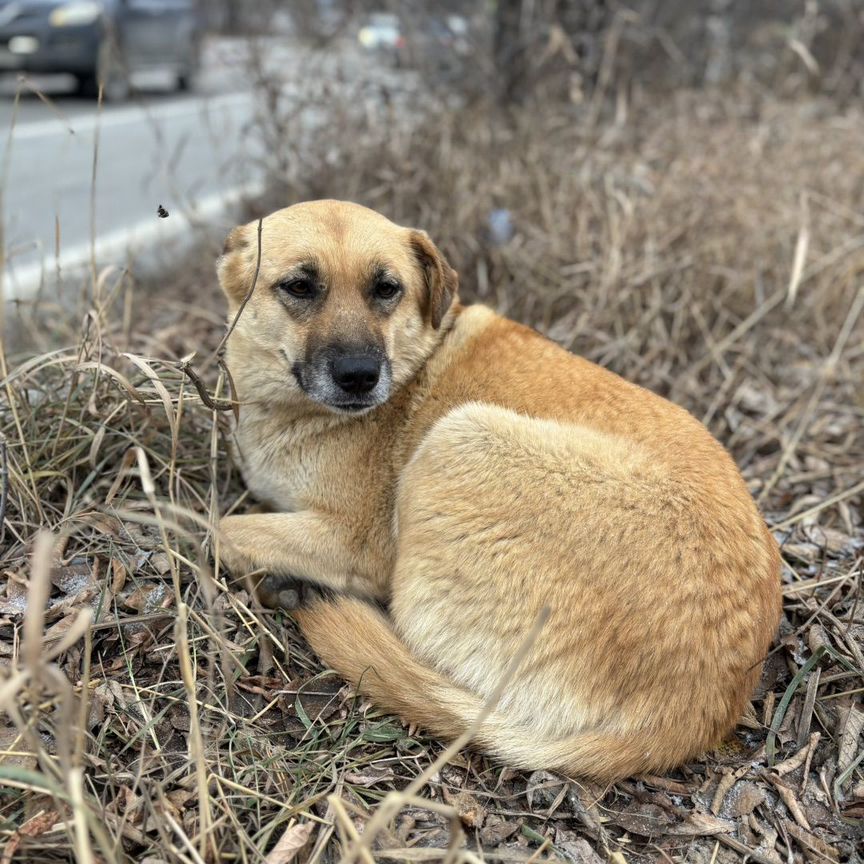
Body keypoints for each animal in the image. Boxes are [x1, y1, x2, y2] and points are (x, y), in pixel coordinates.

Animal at [216, 201, 784, 784]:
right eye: (299, 286)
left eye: (387, 289)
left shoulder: (359, 544)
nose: (359, 376)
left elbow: (223, 529)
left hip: (459, 436)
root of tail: (689, 714)